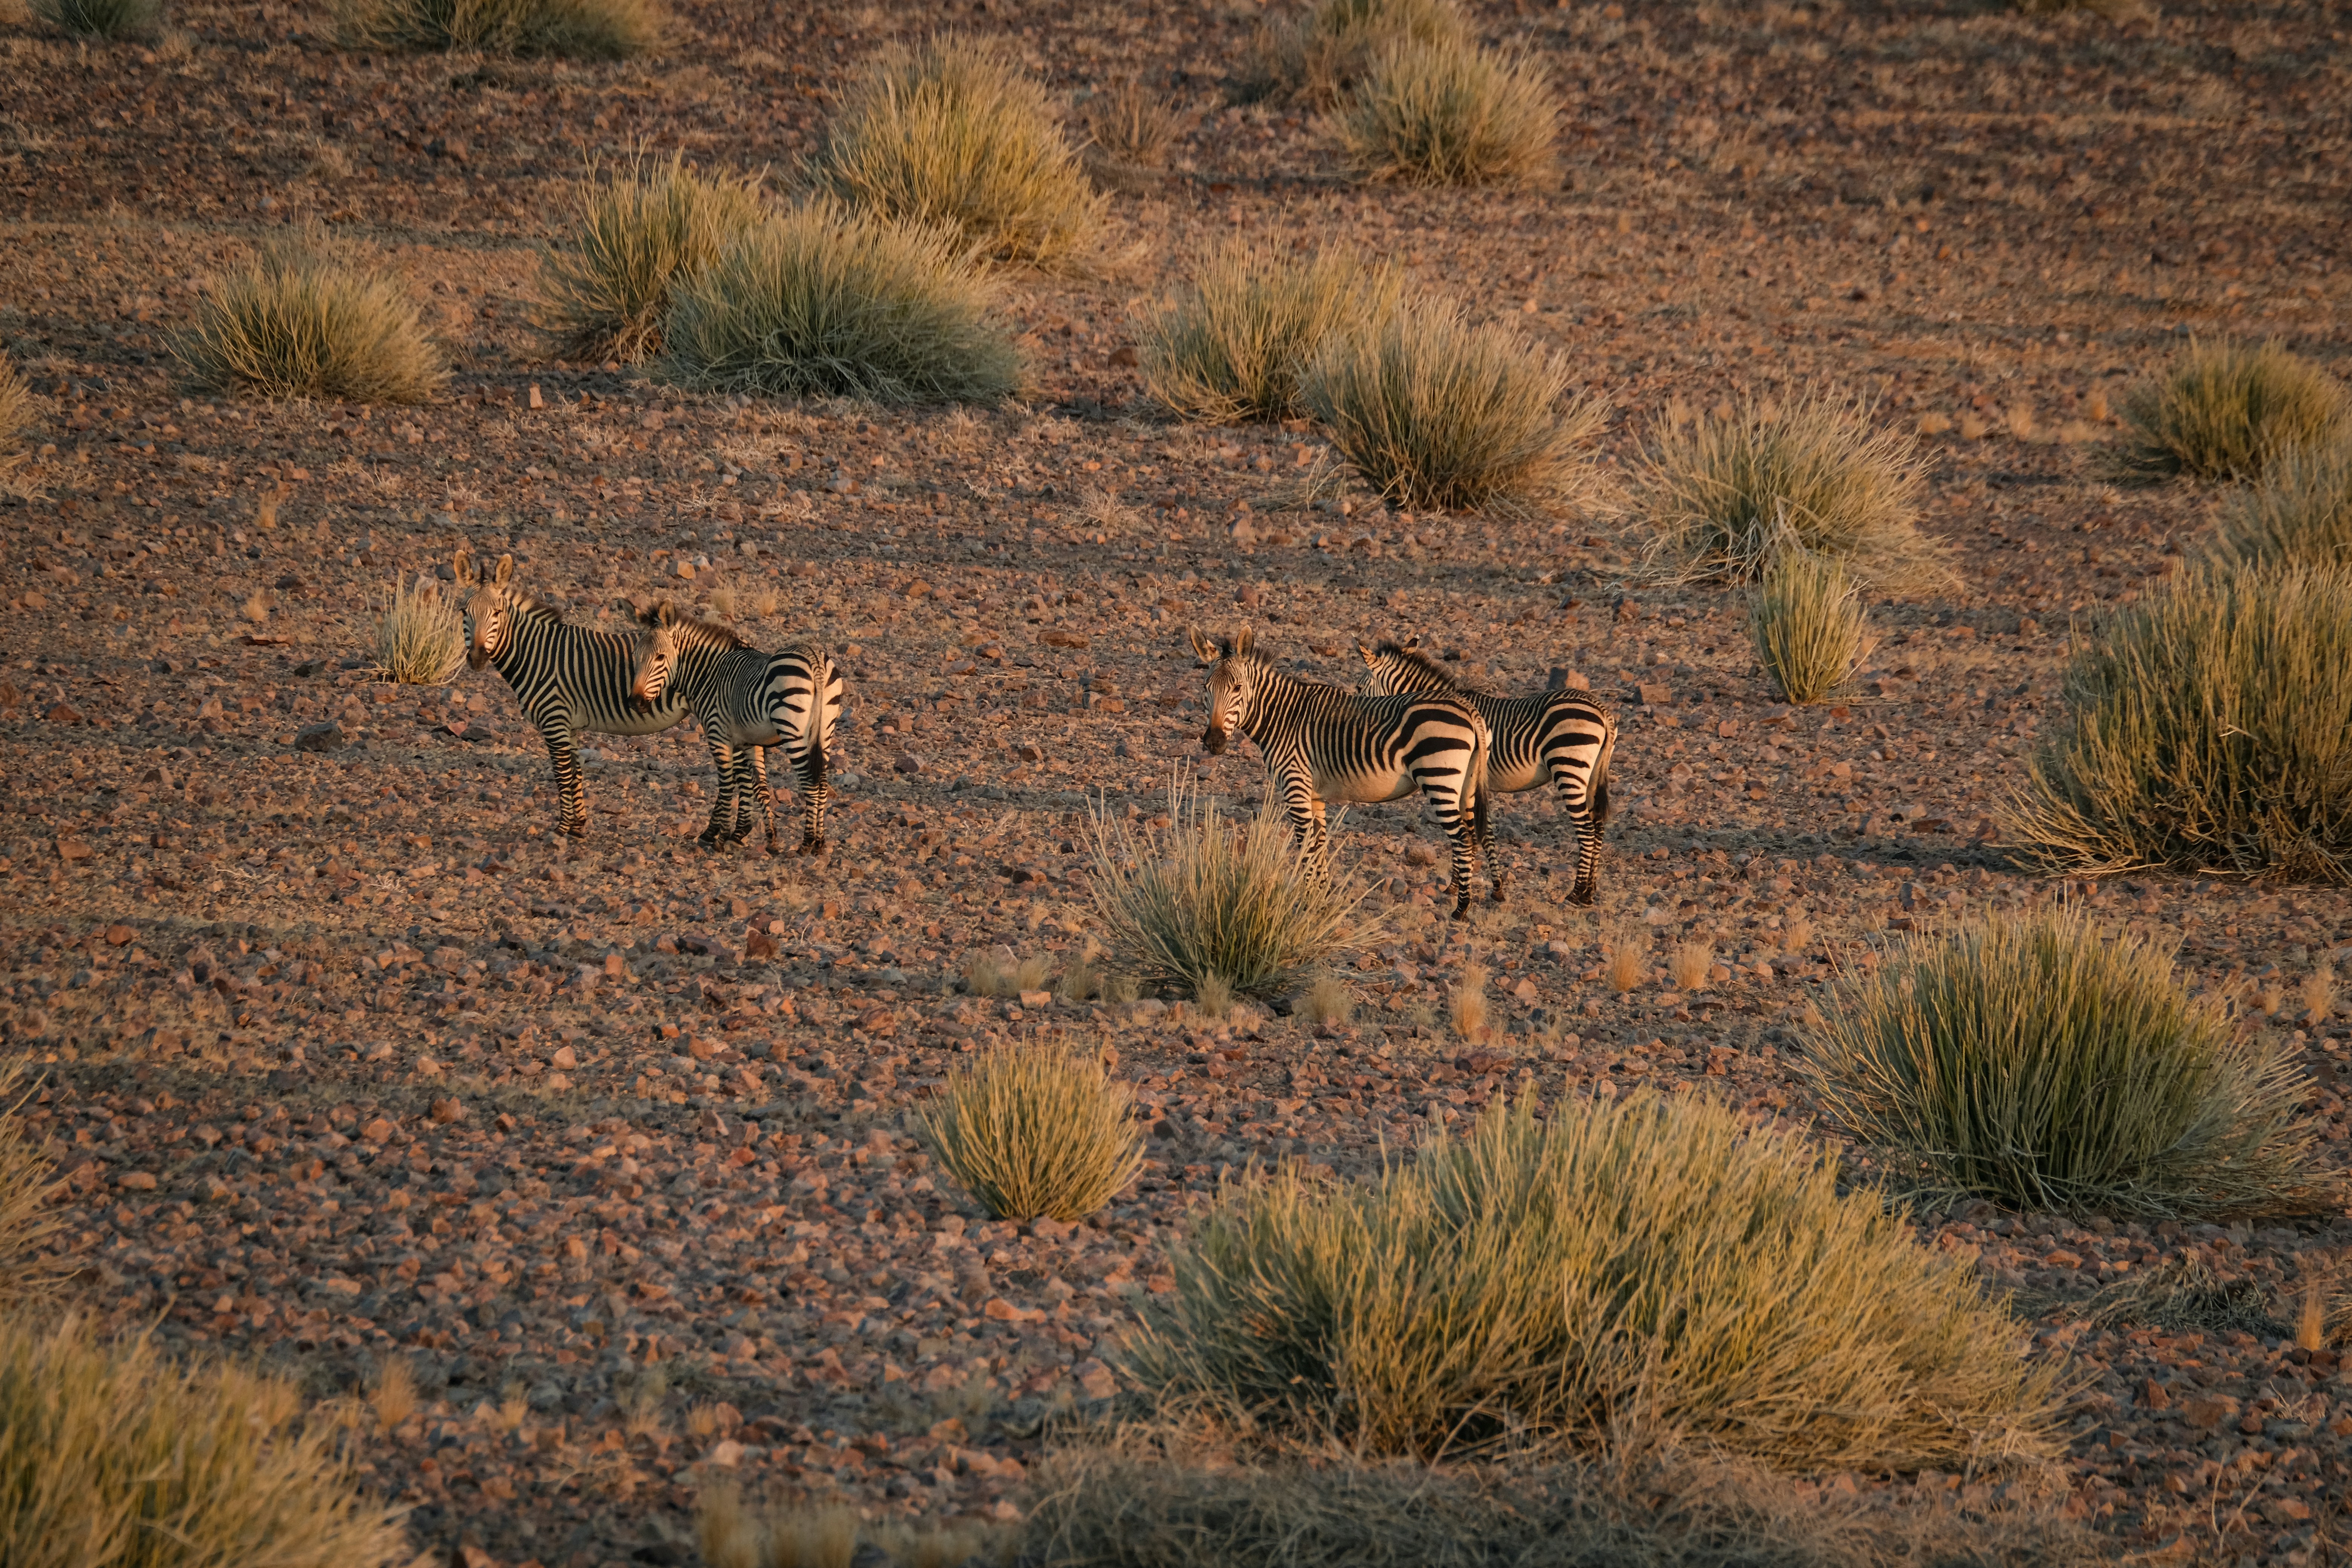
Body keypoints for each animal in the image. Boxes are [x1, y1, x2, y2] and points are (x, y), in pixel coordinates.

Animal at [456, 549, 691, 838]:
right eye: (464, 611)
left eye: (497, 613)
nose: (478, 658)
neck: (537, 654)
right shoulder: (570, 725)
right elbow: (576, 773)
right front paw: (578, 825)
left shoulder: (554, 719)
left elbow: (562, 774)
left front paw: (562, 827)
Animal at [628, 601, 844, 855]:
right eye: (635, 656)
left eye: (661, 657)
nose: (635, 703)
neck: (708, 675)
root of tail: (815, 658)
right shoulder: (748, 740)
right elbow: (757, 787)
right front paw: (767, 838)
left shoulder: (717, 733)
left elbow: (728, 785)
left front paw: (718, 837)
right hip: (824, 731)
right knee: (822, 783)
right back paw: (820, 842)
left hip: (794, 732)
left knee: (810, 782)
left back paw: (808, 842)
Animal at [1191, 626, 1497, 919]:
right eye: (1206, 687)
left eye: (1238, 688)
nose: (1214, 742)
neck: (1284, 719)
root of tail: (1470, 710)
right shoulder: (1314, 795)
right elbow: (1320, 844)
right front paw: (1321, 896)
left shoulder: (1295, 786)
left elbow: (1306, 846)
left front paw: (1306, 900)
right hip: (1466, 786)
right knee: (1472, 834)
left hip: (1438, 779)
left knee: (1463, 839)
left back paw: (1461, 910)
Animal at [1357, 636, 1617, 906]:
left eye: (1358, 688)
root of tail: (1603, 711)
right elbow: (1482, 832)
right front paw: (1489, 887)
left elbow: (1473, 833)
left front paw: (1462, 887)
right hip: (1591, 774)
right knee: (1598, 826)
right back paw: (1589, 893)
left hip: (1569, 766)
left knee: (1586, 829)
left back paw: (1576, 893)